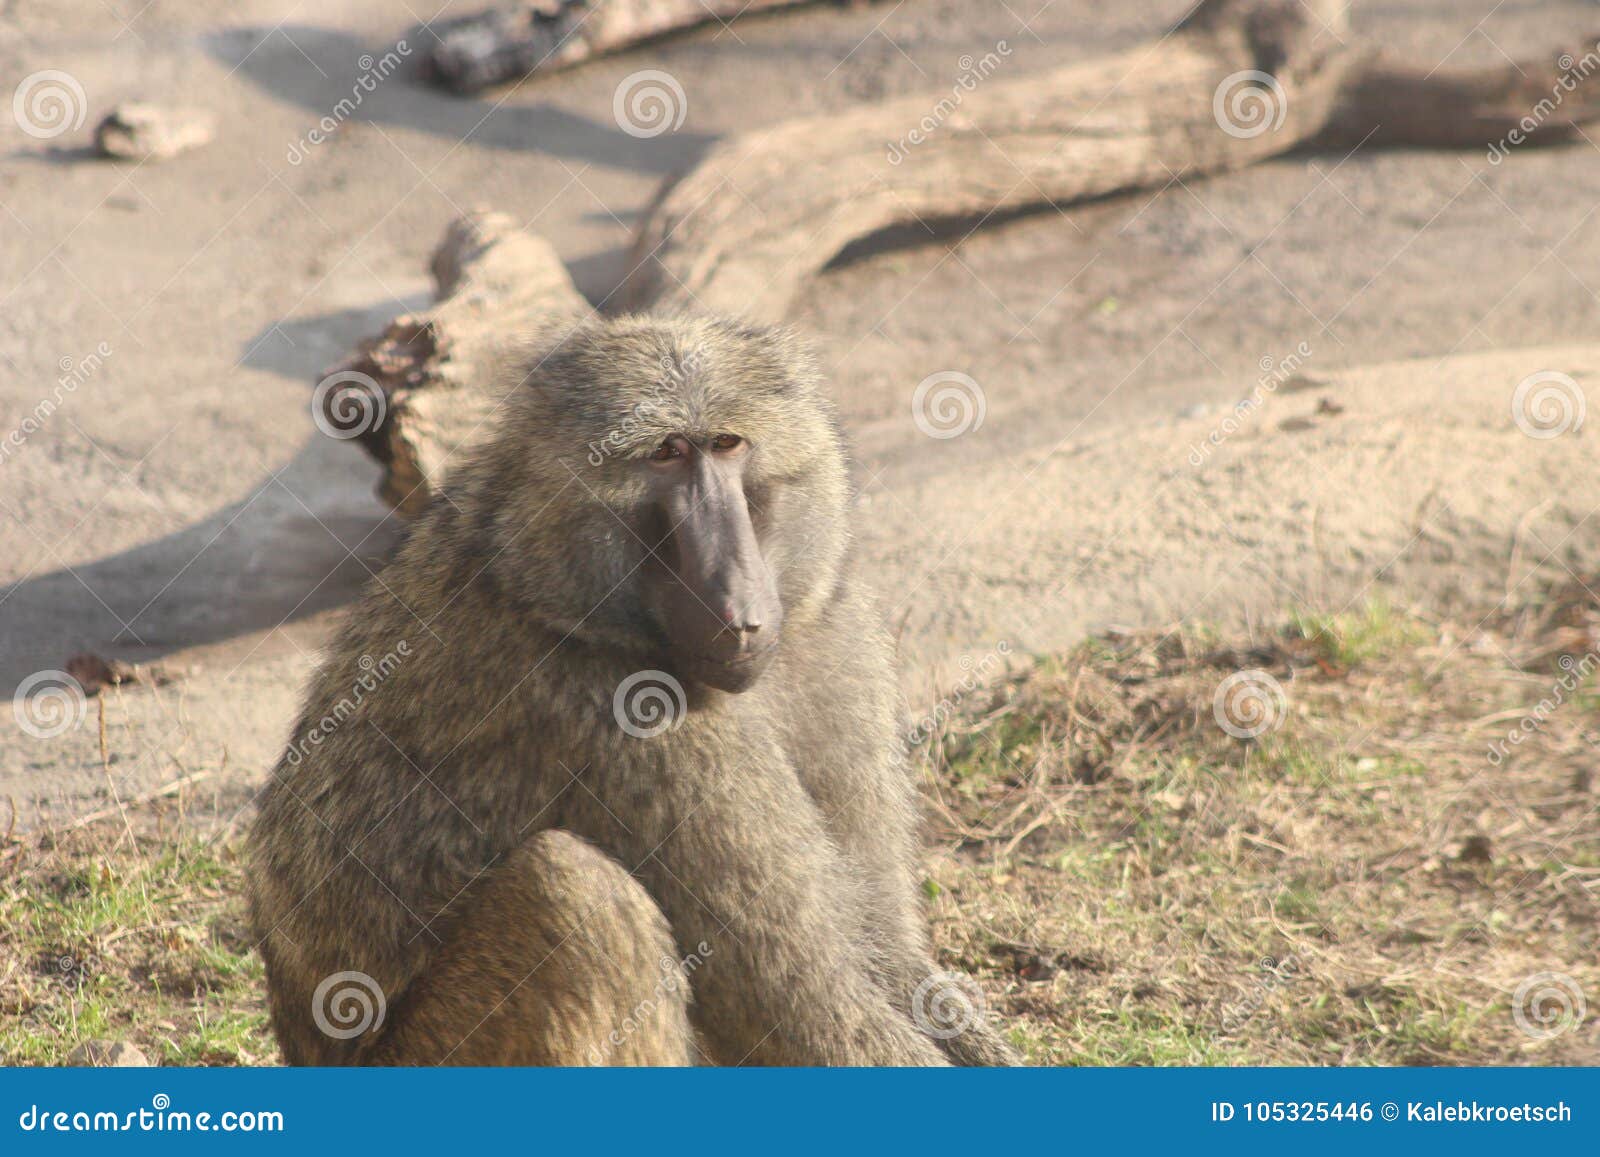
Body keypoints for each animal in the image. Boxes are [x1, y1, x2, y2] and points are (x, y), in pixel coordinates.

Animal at [247, 314, 1021, 1067]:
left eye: (727, 444)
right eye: (666, 454)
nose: (736, 600)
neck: (549, 589)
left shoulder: (835, 634)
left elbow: (888, 955)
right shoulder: (625, 717)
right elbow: (811, 1010)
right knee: (575, 892)